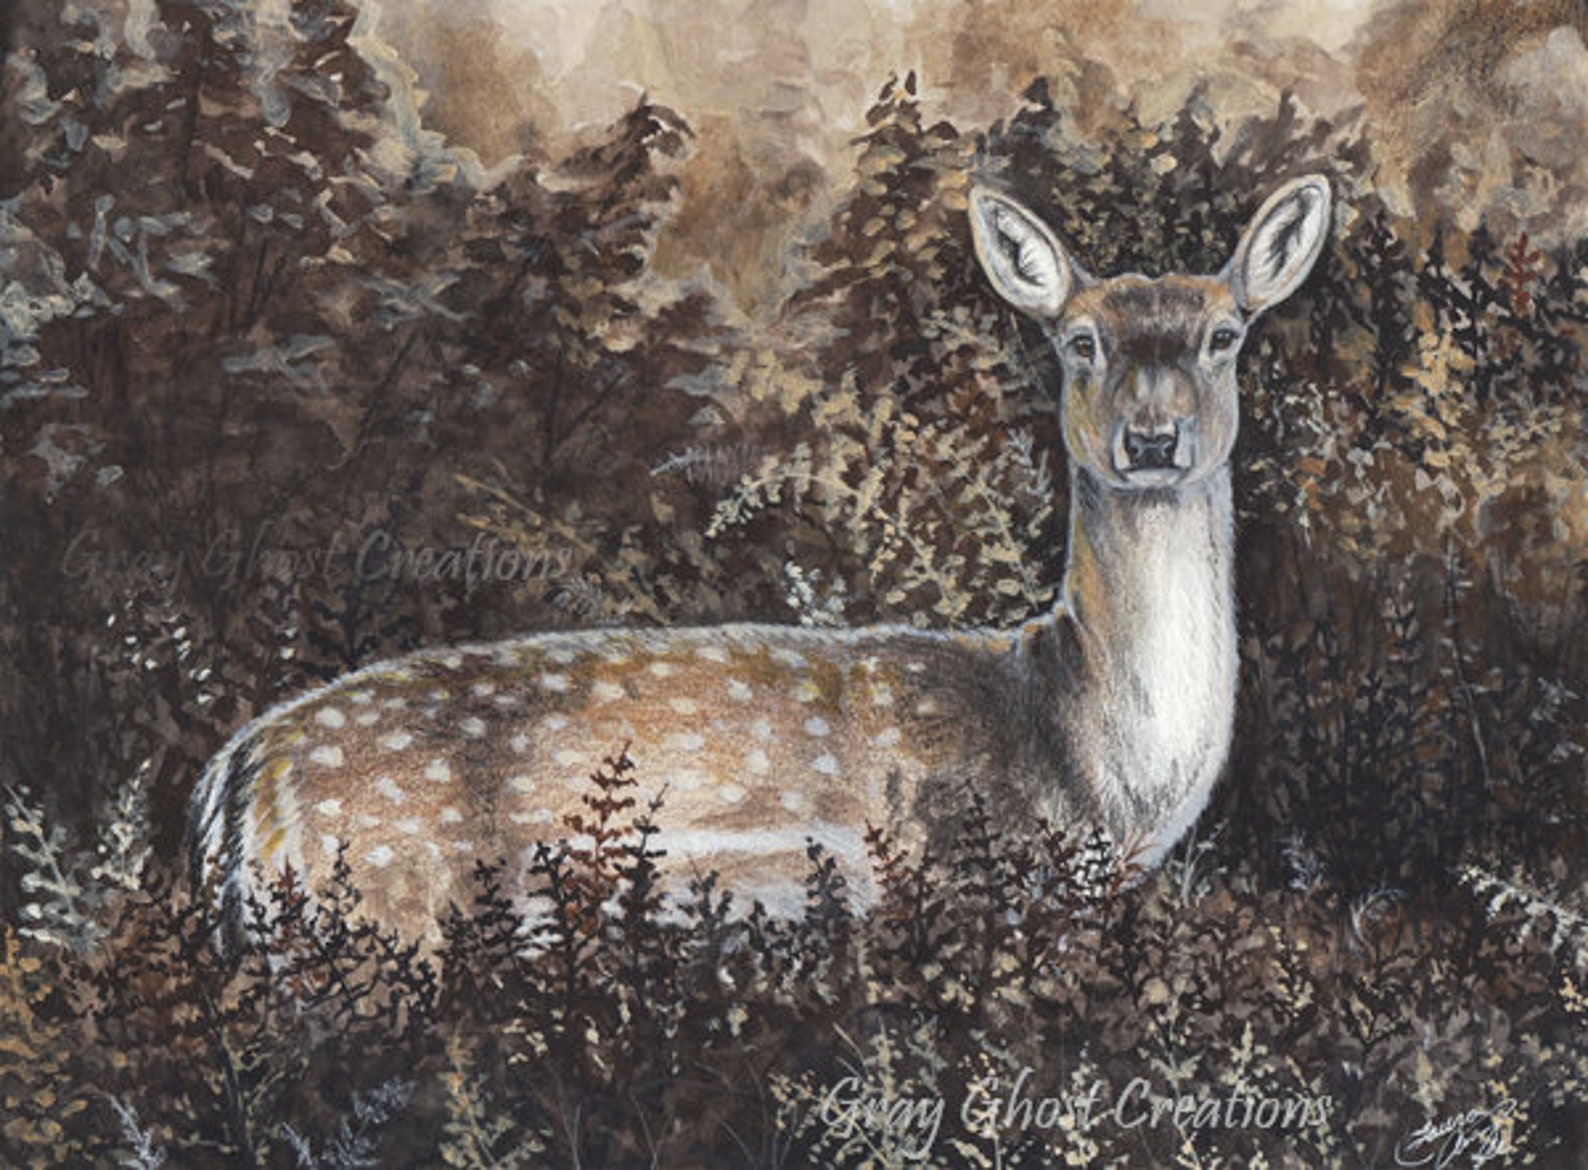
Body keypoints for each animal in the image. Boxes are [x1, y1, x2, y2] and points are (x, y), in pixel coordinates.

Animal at [189, 173, 1332, 947]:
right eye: (1079, 341)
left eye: (1226, 334)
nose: (1153, 439)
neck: (1099, 778)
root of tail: (236, 772)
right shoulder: (950, 884)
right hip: (388, 902)